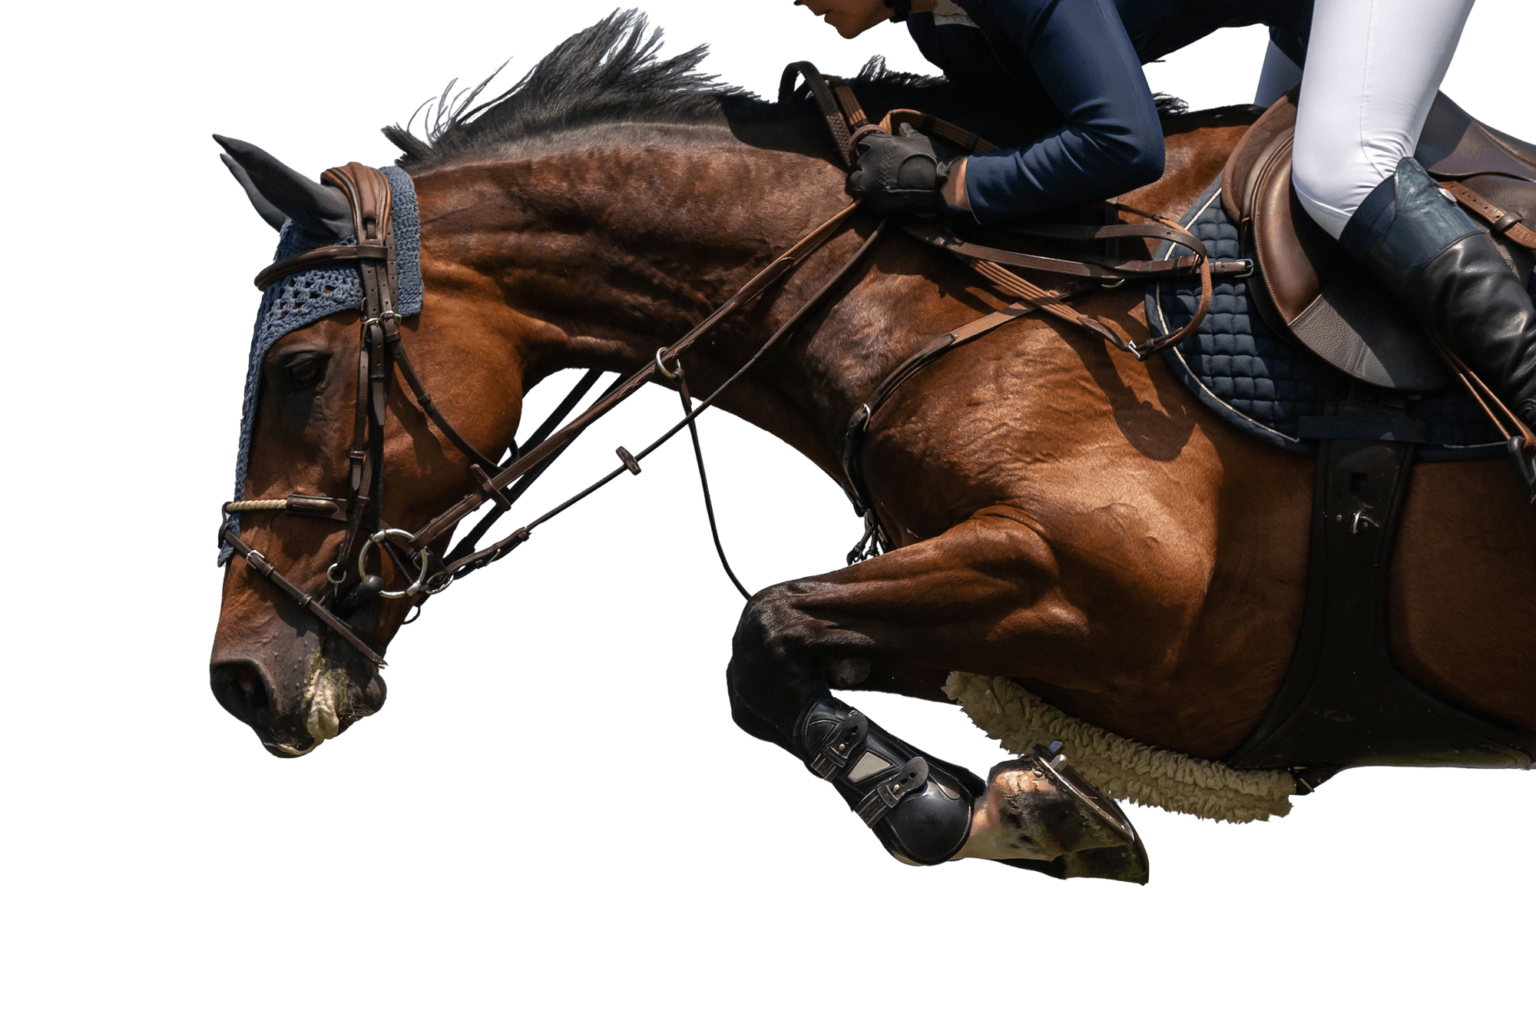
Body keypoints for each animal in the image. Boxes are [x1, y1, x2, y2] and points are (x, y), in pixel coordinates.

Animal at [208, 14, 1536, 880]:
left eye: (303, 370)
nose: (241, 679)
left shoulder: (1138, 596)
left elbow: (766, 630)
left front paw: (945, 807)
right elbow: (789, 646)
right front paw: (1012, 805)